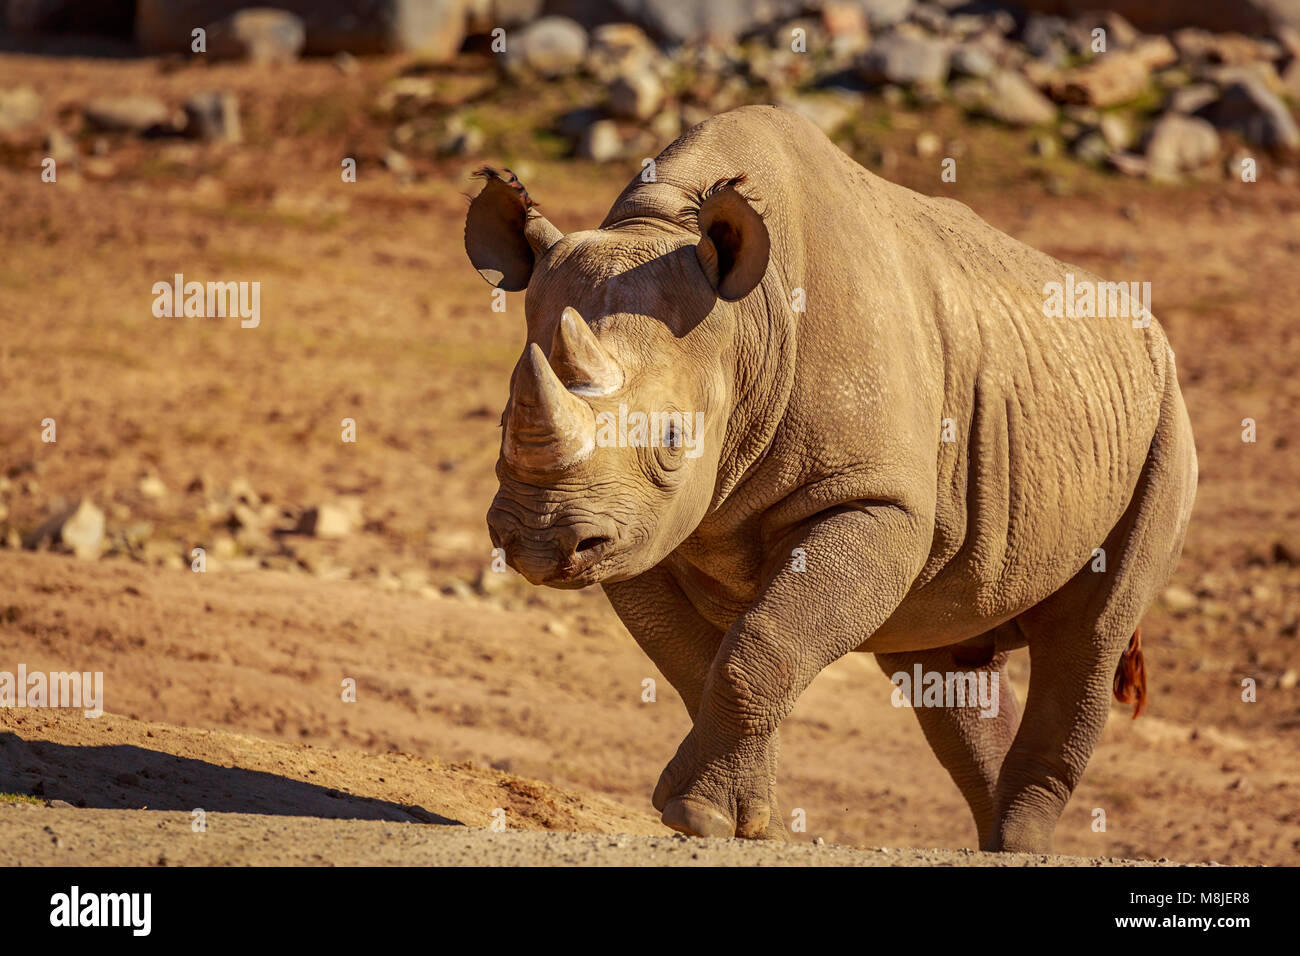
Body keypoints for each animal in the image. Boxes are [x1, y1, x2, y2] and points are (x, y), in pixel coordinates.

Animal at [464, 105, 1197, 851]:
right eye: (504, 419)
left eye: (671, 440)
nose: (539, 543)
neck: (745, 326)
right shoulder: (635, 527)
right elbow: (701, 663)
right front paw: (731, 815)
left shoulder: (873, 498)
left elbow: (759, 647)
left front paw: (697, 815)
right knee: (939, 655)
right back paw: (1001, 839)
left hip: (1167, 425)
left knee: (1090, 638)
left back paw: (1020, 844)